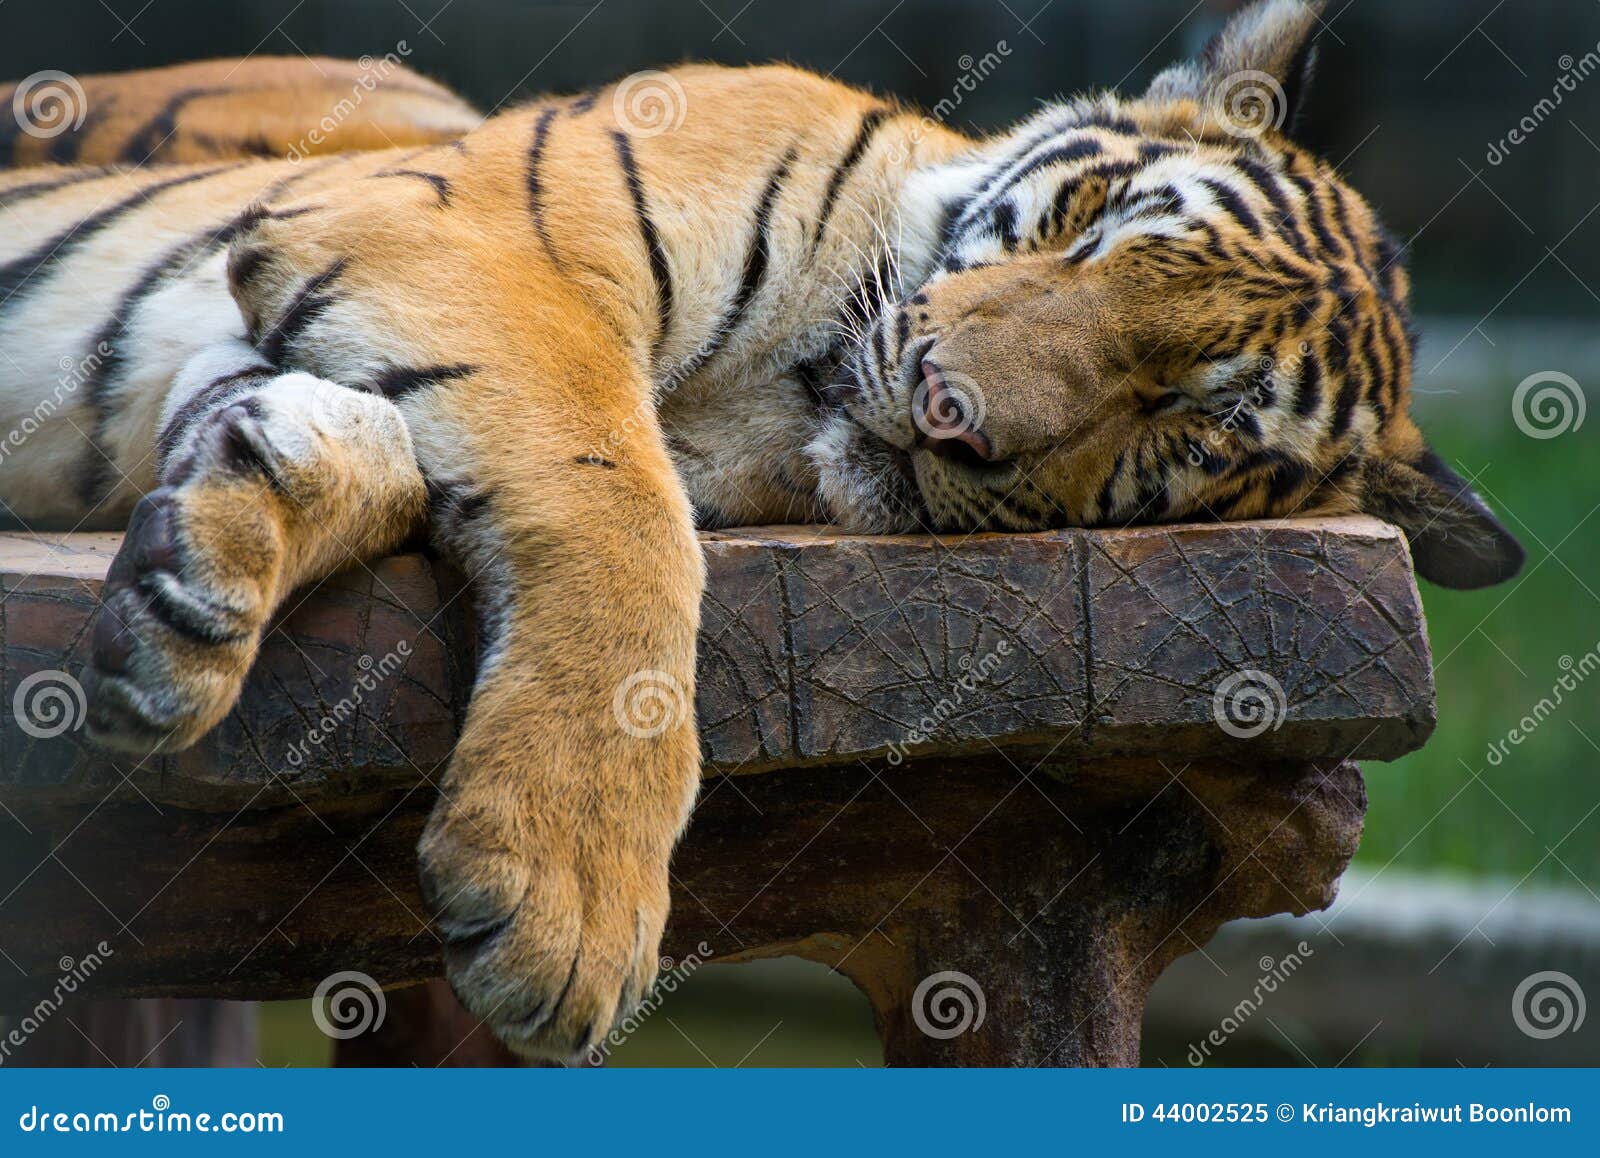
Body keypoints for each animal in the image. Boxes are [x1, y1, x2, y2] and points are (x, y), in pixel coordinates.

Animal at [0, 0, 1522, 1062]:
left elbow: (365, 449)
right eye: (1092, 226)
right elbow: (616, 498)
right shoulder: (454, 224)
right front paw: (565, 899)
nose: (949, 410)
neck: (785, 402)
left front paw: (197, 576)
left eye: (1188, 425)